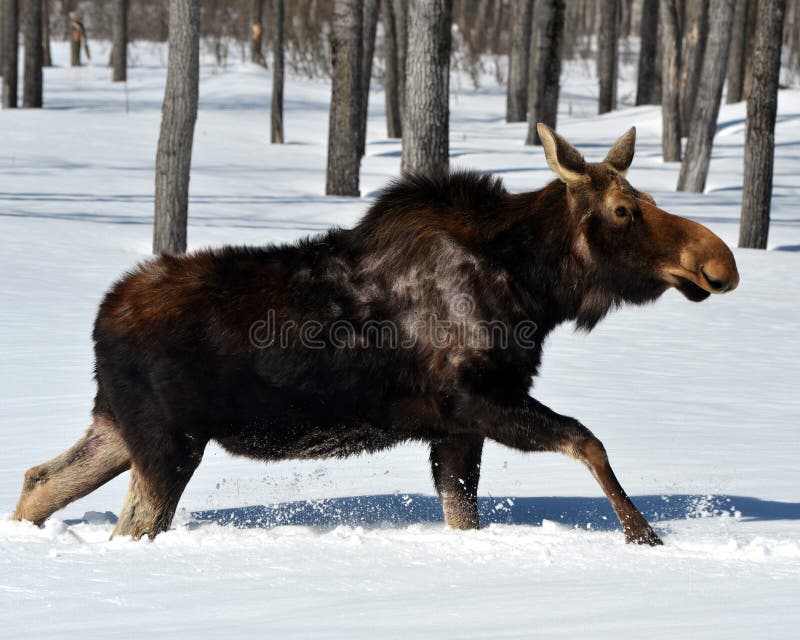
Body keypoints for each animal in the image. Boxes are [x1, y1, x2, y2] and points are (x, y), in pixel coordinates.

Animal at [13, 125, 738, 545]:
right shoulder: (474, 401)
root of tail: (100, 320)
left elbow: (466, 512)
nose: (719, 262)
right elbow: (589, 443)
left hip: (119, 426)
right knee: (129, 526)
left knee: (39, 480)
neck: (536, 288)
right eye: (622, 209)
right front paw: (643, 534)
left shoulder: (458, 426)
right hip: (169, 441)